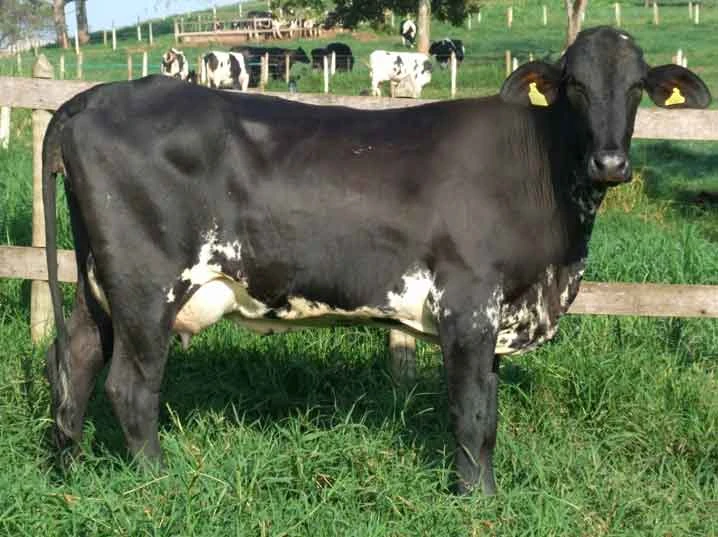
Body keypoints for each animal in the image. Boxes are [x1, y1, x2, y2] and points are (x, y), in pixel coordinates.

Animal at [42, 27, 710, 496]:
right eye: (574, 85)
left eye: (637, 87)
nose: (610, 163)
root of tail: (92, 98)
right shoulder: (469, 305)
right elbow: (471, 414)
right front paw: (479, 503)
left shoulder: (494, 318)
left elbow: (489, 413)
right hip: (146, 284)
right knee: (130, 385)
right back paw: (161, 483)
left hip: (100, 281)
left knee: (76, 355)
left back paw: (69, 471)